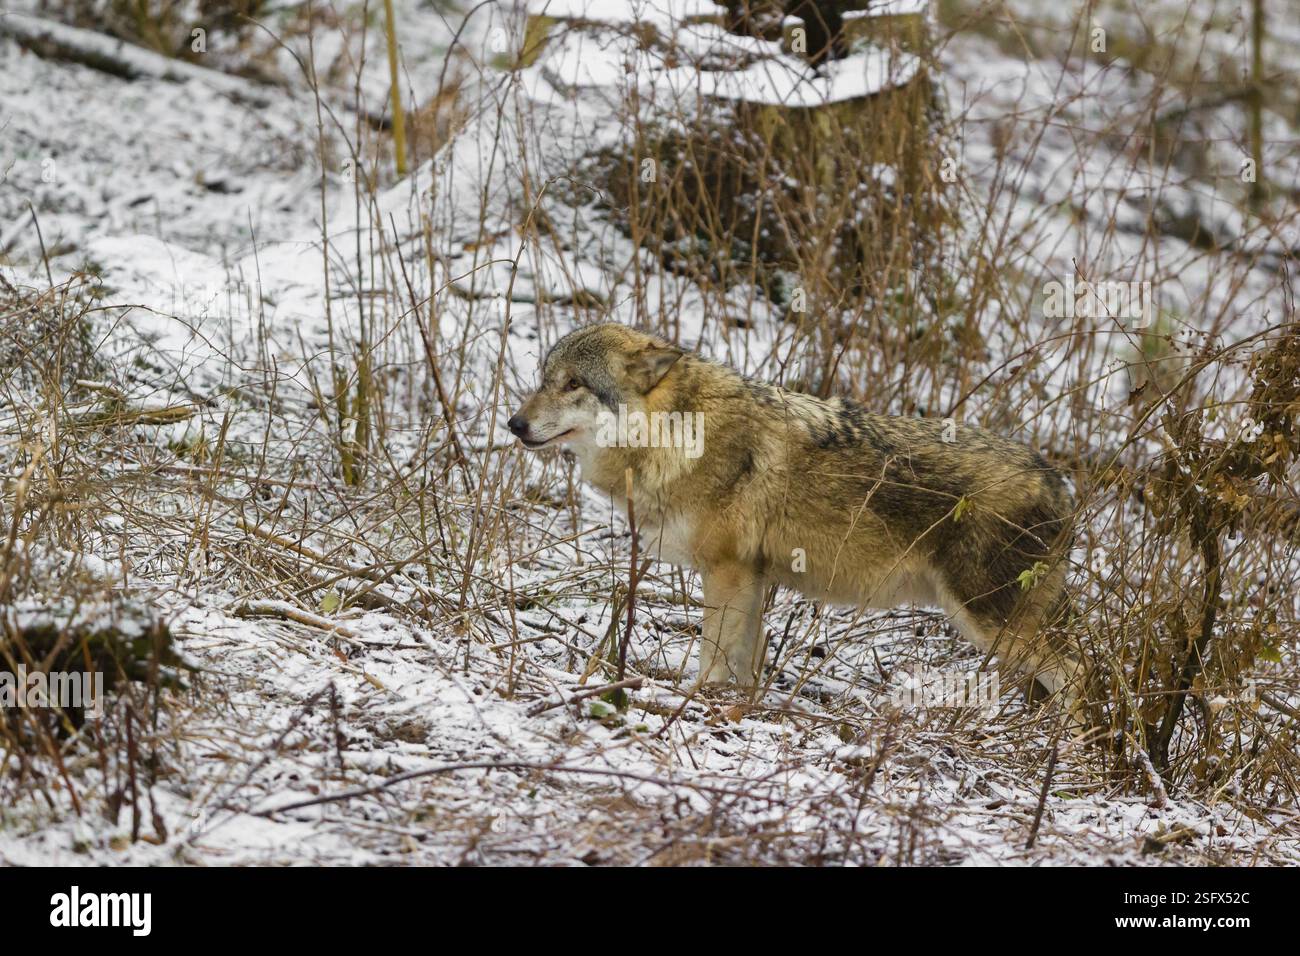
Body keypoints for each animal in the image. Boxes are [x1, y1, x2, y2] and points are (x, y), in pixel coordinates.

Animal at [509, 323, 1086, 714]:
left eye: (574, 383)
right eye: (545, 380)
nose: (514, 424)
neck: (676, 433)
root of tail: (1061, 486)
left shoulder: (727, 573)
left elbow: (711, 656)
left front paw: (695, 701)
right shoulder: (752, 578)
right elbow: (743, 665)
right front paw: (737, 707)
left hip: (989, 623)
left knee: (1081, 671)